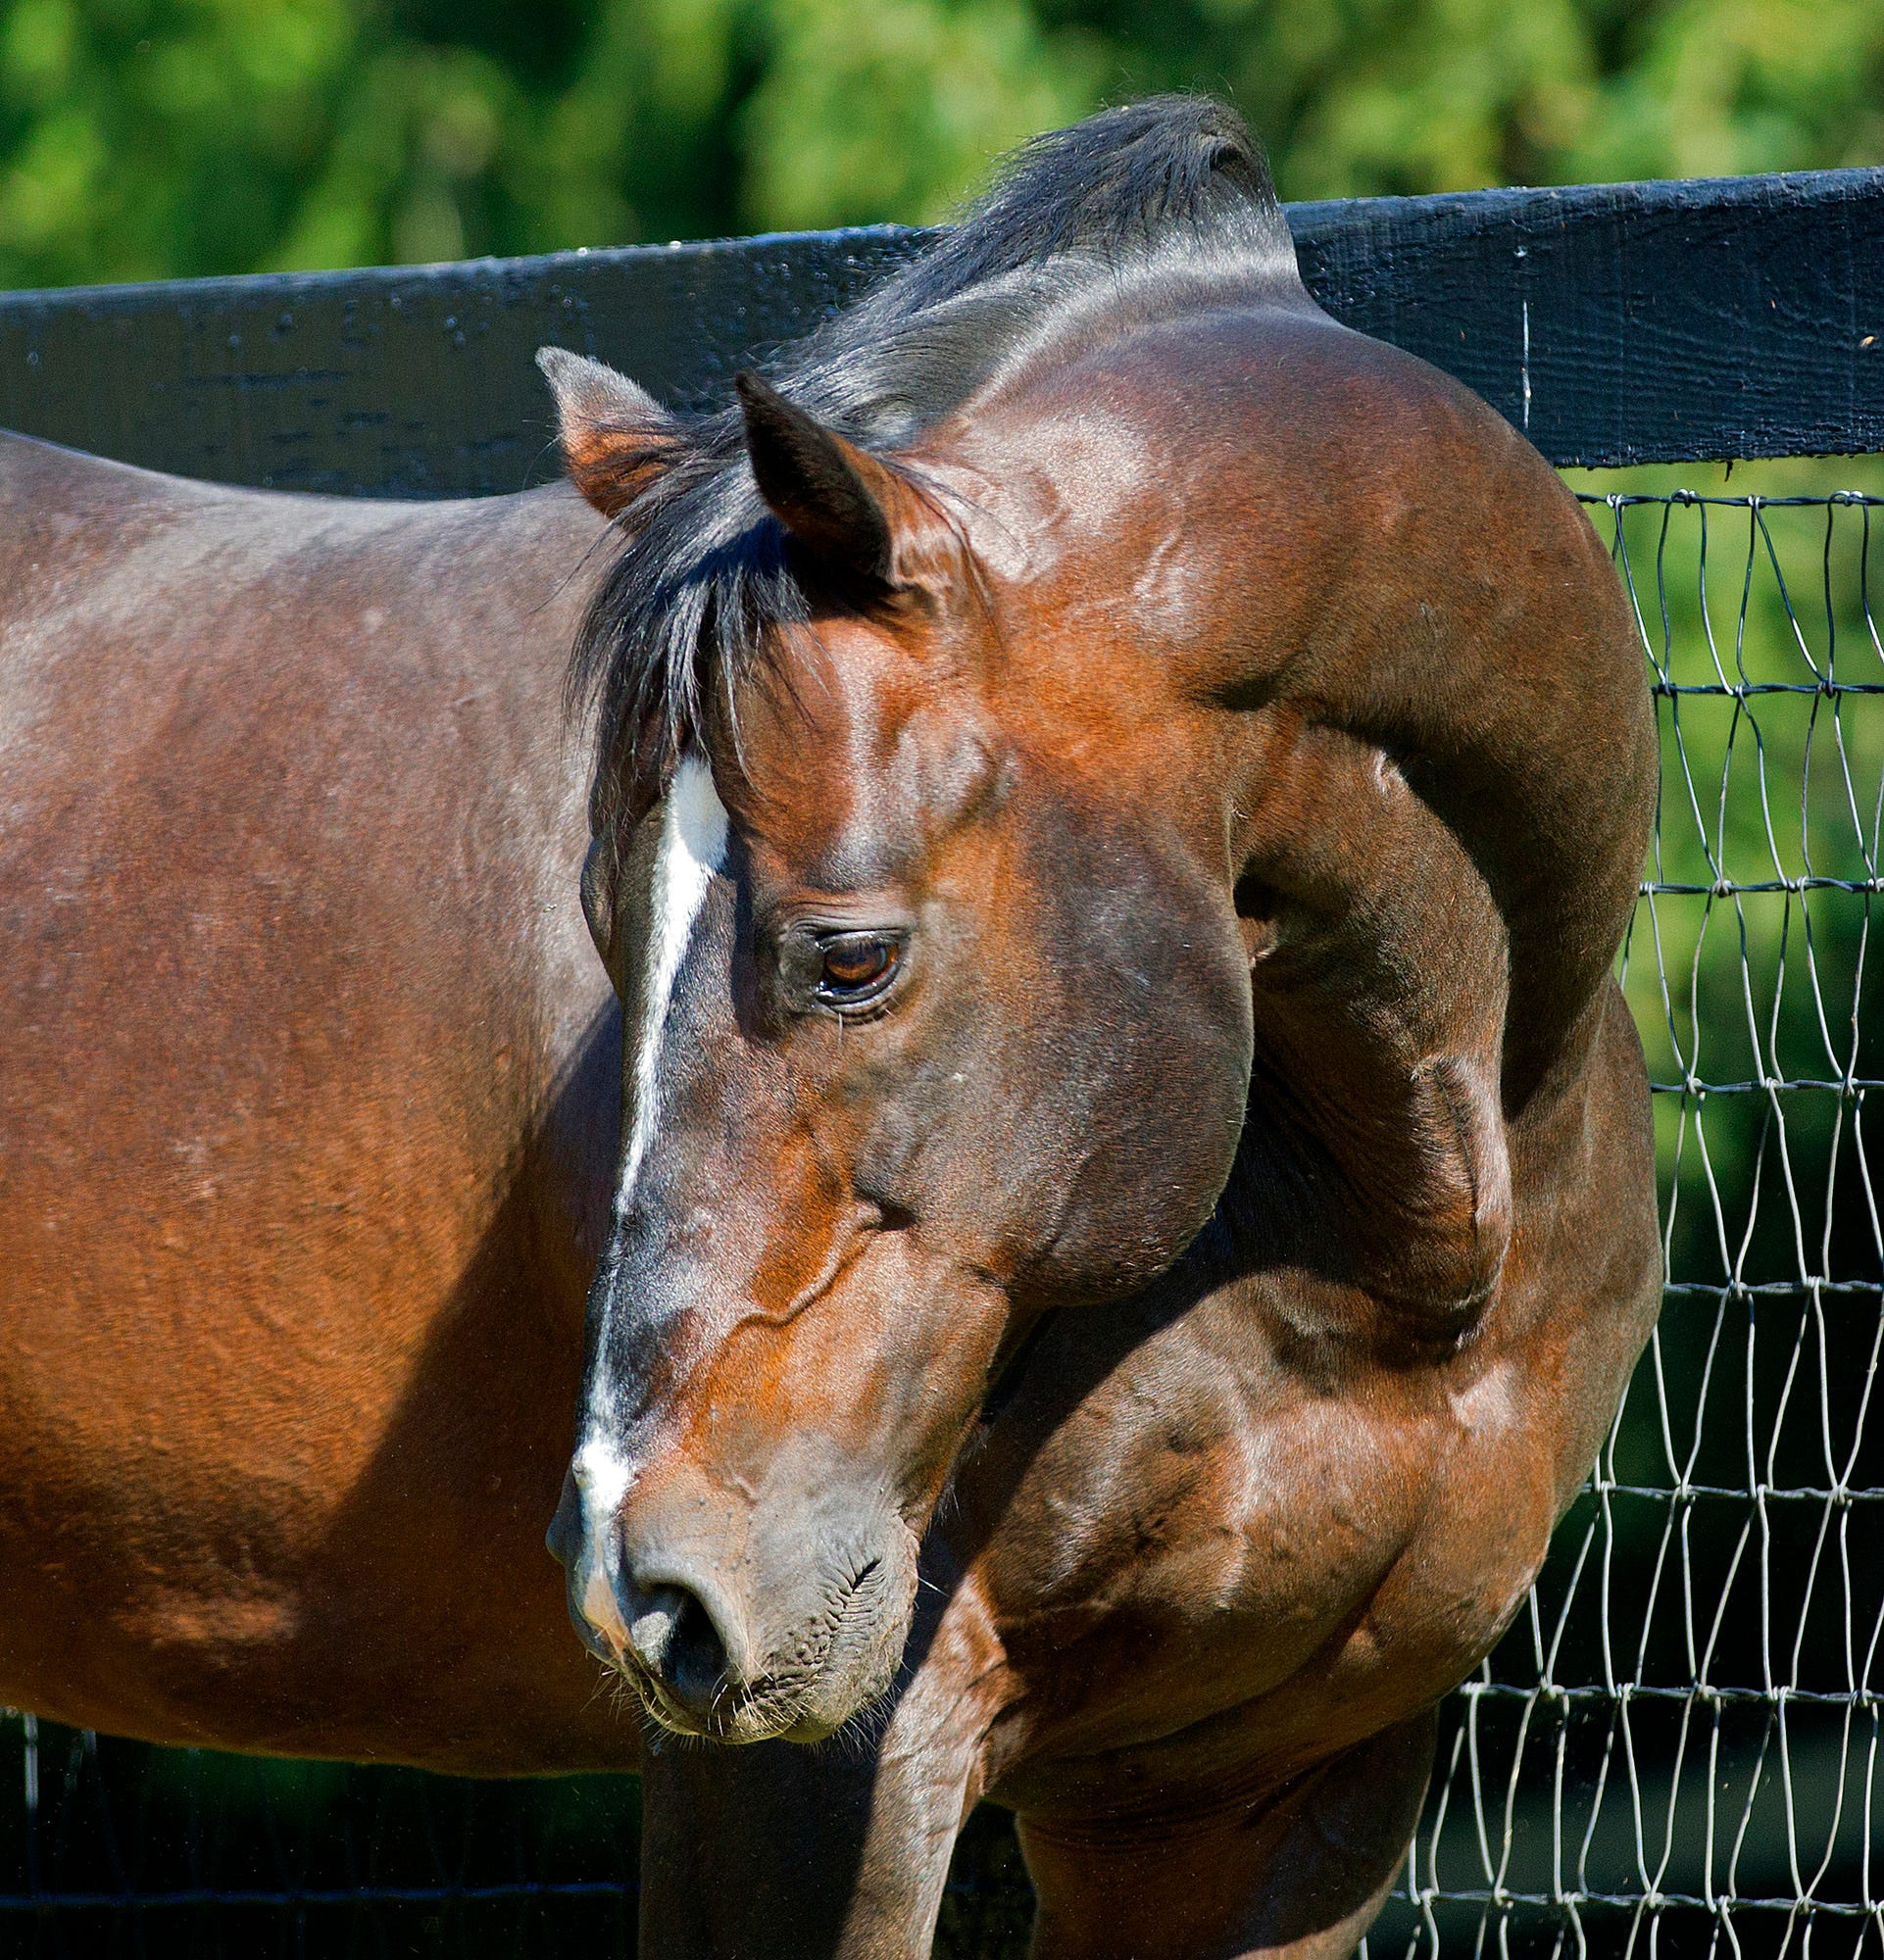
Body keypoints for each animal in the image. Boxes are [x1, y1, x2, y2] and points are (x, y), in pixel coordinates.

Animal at [0, 97, 1660, 1959]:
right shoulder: (812, 1778)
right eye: (602, 930)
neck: (1399, 1252)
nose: (644, 1592)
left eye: (849, 958)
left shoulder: (1275, 1798)